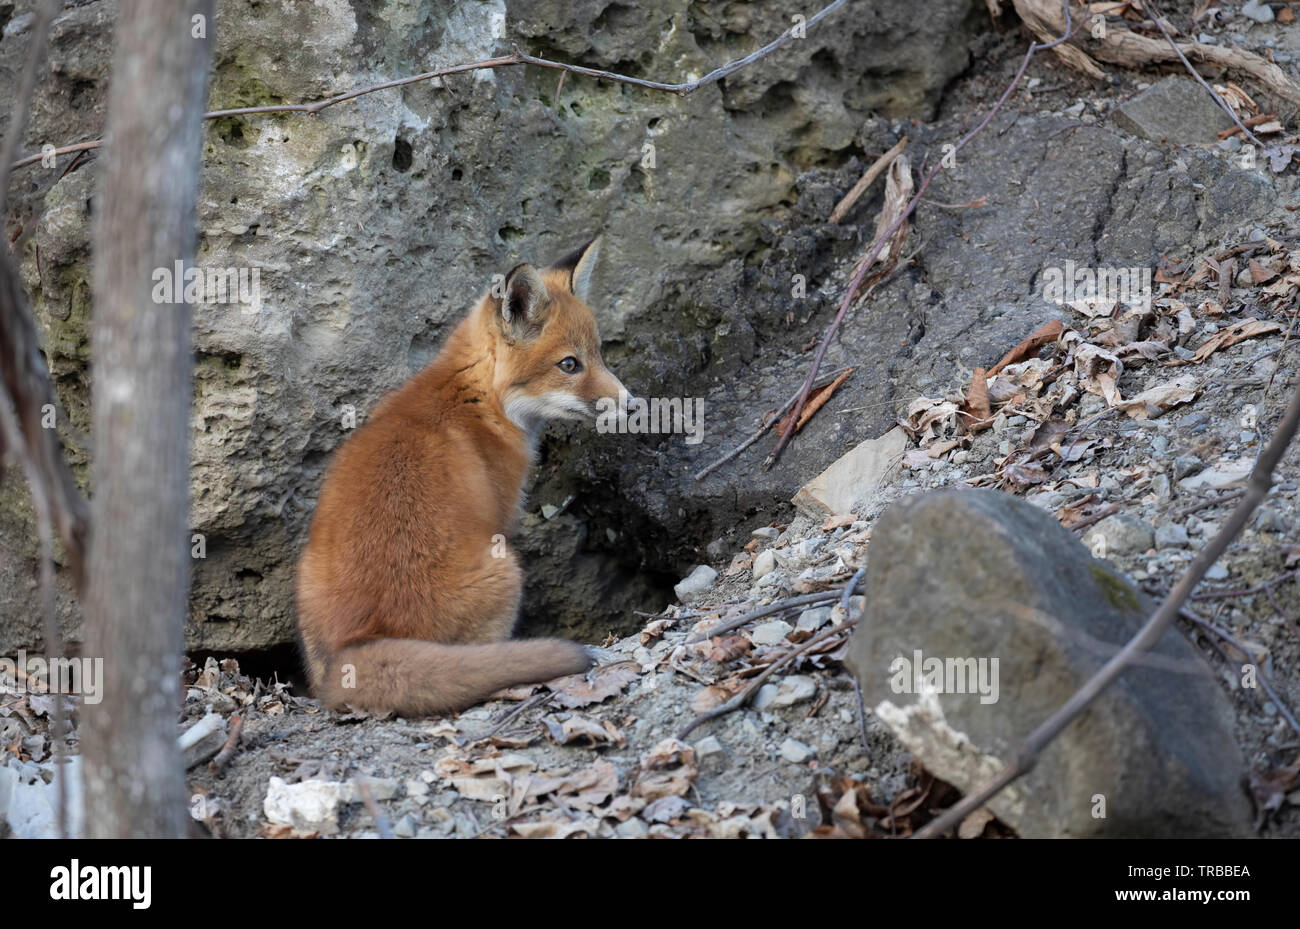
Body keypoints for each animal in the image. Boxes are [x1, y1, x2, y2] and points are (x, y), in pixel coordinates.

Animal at [295, 237, 626, 717]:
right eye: (569, 365)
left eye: (599, 354)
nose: (633, 403)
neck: (477, 399)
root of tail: (357, 644)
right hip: (506, 570)